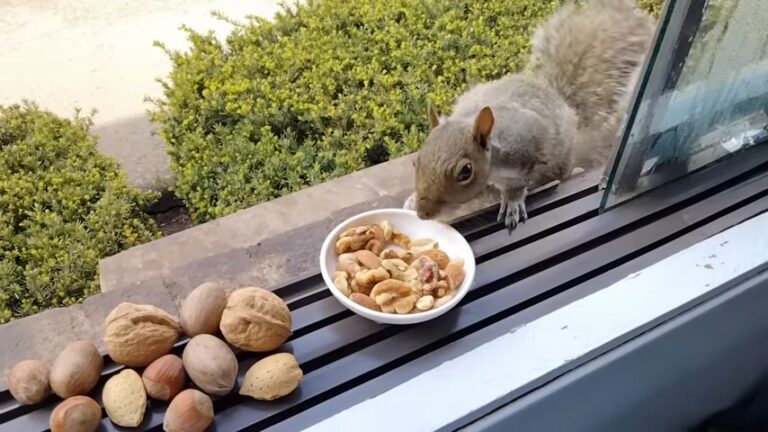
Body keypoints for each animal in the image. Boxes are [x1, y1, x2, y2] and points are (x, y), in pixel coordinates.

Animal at [411, 0, 656, 232]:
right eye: (417, 161)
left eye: (465, 172)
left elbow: (521, 180)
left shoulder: (526, 142)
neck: (494, 168)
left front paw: (512, 200)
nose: (423, 214)